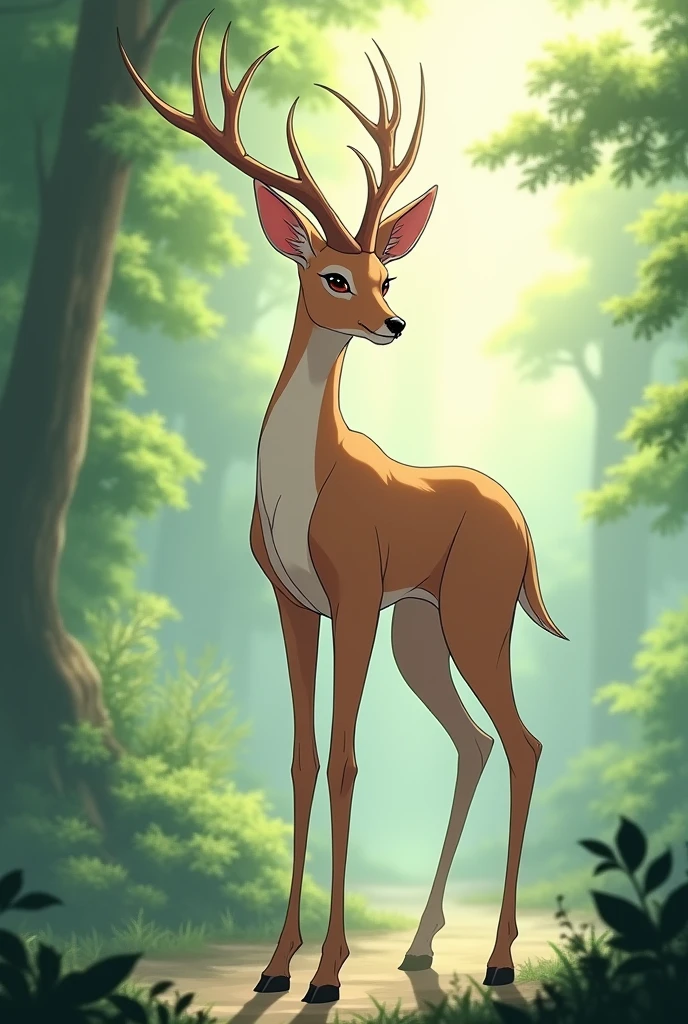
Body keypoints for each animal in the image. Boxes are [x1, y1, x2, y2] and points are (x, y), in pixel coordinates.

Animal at [119, 12, 567, 1006]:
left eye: (386, 276)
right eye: (332, 276)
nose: (393, 325)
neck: (300, 487)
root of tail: (521, 519)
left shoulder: (356, 591)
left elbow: (349, 756)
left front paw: (325, 972)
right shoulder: (295, 601)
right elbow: (300, 757)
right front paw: (276, 964)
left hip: (475, 614)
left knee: (523, 742)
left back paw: (499, 954)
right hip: (423, 630)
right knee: (476, 741)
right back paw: (419, 945)